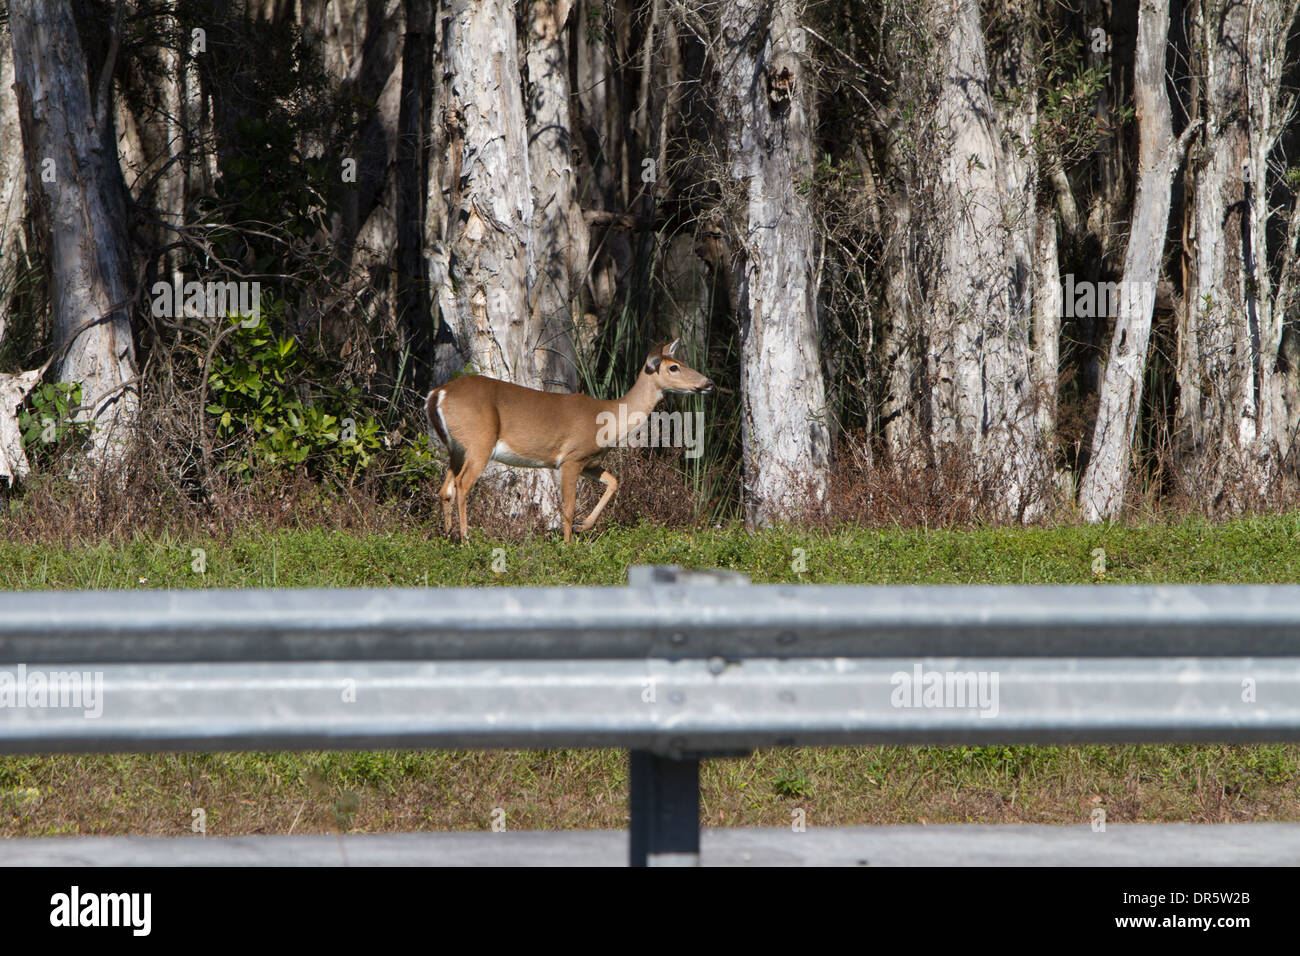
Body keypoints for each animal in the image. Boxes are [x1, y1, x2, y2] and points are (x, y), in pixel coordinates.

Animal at [426, 340, 713, 543]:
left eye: (680, 361)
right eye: (674, 367)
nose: (709, 382)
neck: (609, 420)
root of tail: (438, 393)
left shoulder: (589, 462)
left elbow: (614, 482)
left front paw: (582, 526)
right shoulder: (571, 458)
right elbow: (568, 505)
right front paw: (567, 545)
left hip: (456, 448)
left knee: (446, 489)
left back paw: (449, 537)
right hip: (480, 442)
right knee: (462, 484)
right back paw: (466, 539)